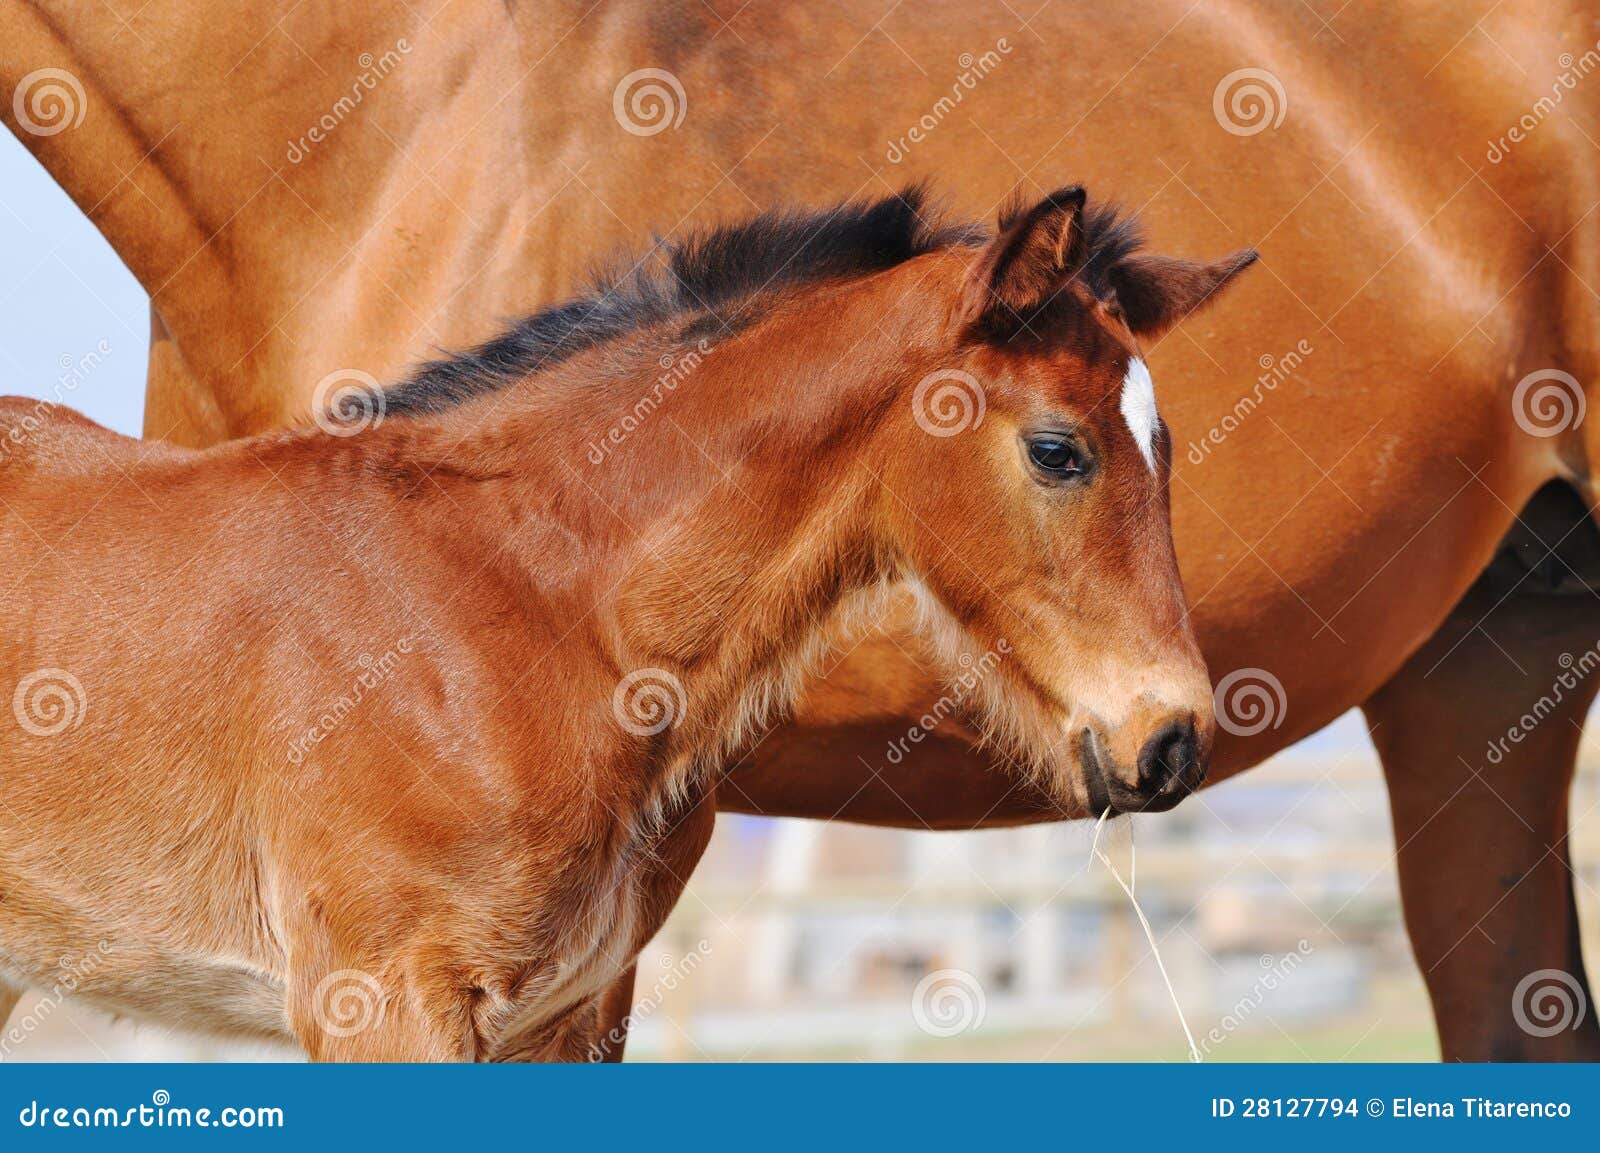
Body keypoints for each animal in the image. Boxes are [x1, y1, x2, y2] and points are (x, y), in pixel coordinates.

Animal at [0, 187, 1252, 1059]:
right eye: (1057, 449)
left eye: (1168, 444)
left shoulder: (577, 1008)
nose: (1171, 741)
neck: (533, 609)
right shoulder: (380, 998)